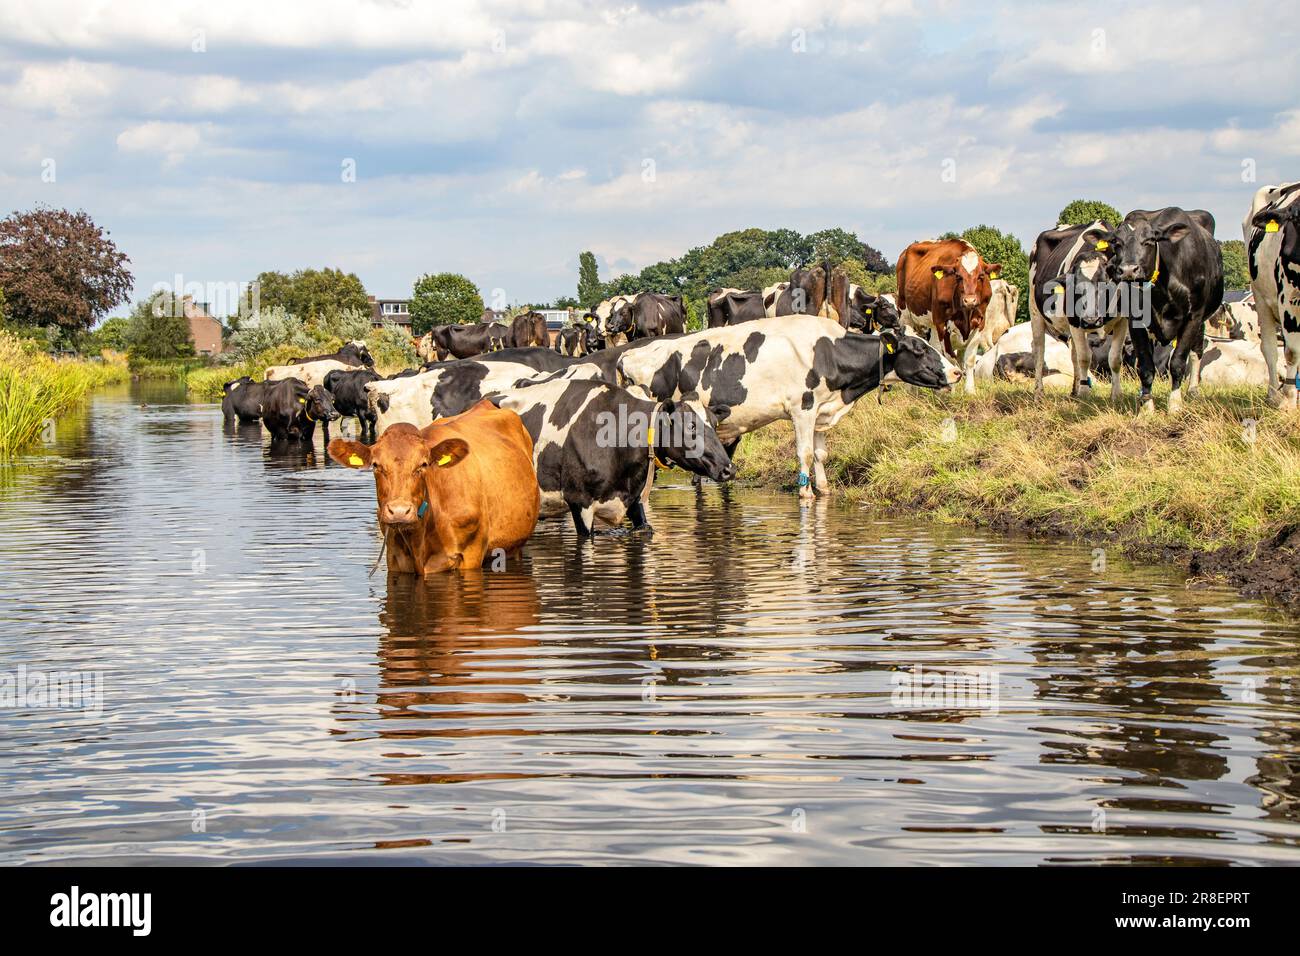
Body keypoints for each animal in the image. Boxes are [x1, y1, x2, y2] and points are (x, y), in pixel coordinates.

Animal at [615, 316, 960, 499]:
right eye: (918, 349)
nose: (957, 372)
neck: (829, 352)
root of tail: (628, 355)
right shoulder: (802, 409)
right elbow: (804, 453)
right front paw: (806, 493)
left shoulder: (821, 410)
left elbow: (821, 454)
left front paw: (824, 489)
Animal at [897, 240, 1003, 392]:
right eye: (958, 276)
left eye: (981, 276)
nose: (969, 300)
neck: (965, 315)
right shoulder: (942, 323)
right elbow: (951, 358)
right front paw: (952, 391)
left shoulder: (979, 323)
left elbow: (969, 360)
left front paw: (969, 390)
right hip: (905, 313)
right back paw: (910, 389)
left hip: (933, 324)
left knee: (935, 346)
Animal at [1104, 207, 1223, 413]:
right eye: (1116, 242)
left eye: (1150, 240)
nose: (1128, 270)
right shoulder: (1136, 321)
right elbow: (1145, 366)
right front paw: (1147, 408)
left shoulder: (1193, 317)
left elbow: (1177, 362)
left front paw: (1175, 405)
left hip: (1201, 321)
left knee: (1196, 352)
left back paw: (1193, 389)